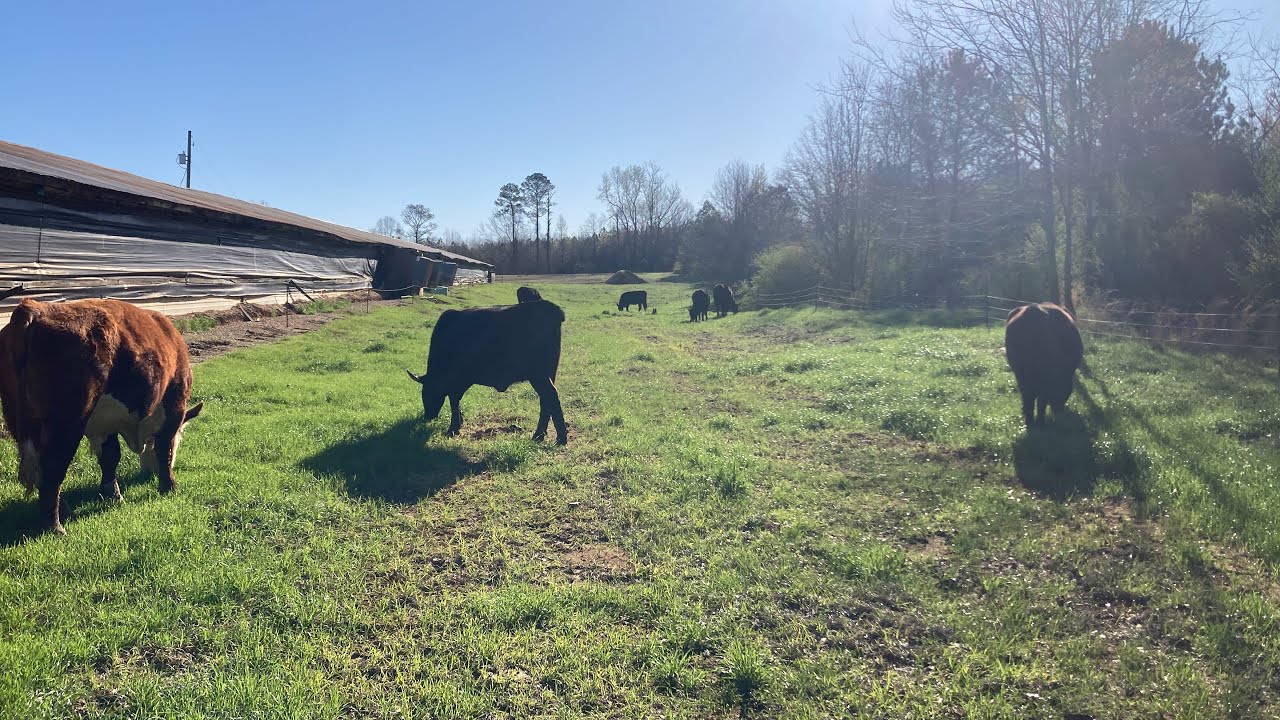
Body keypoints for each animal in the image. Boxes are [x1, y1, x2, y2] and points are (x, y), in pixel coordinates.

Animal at [0, 299, 203, 534]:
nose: (148, 474)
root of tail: (34, 308)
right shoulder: (174, 406)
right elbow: (165, 448)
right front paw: (168, 486)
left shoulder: (104, 425)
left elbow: (110, 457)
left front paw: (113, 495)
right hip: (66, 424)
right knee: (53, 467)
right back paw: (55, 526)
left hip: (21, 422)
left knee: (43, 470)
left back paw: (65, 511)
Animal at [406, 300, 568, 444]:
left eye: (427, 393)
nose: (428, 417)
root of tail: (552, 309)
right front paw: (459, 422)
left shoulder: (458, 379)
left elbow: (454, 400)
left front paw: (454, 427)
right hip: (549, 374)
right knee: (545, 401)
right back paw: (542, 435)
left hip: (539, 375)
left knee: (551, 397)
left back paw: (557, 437)